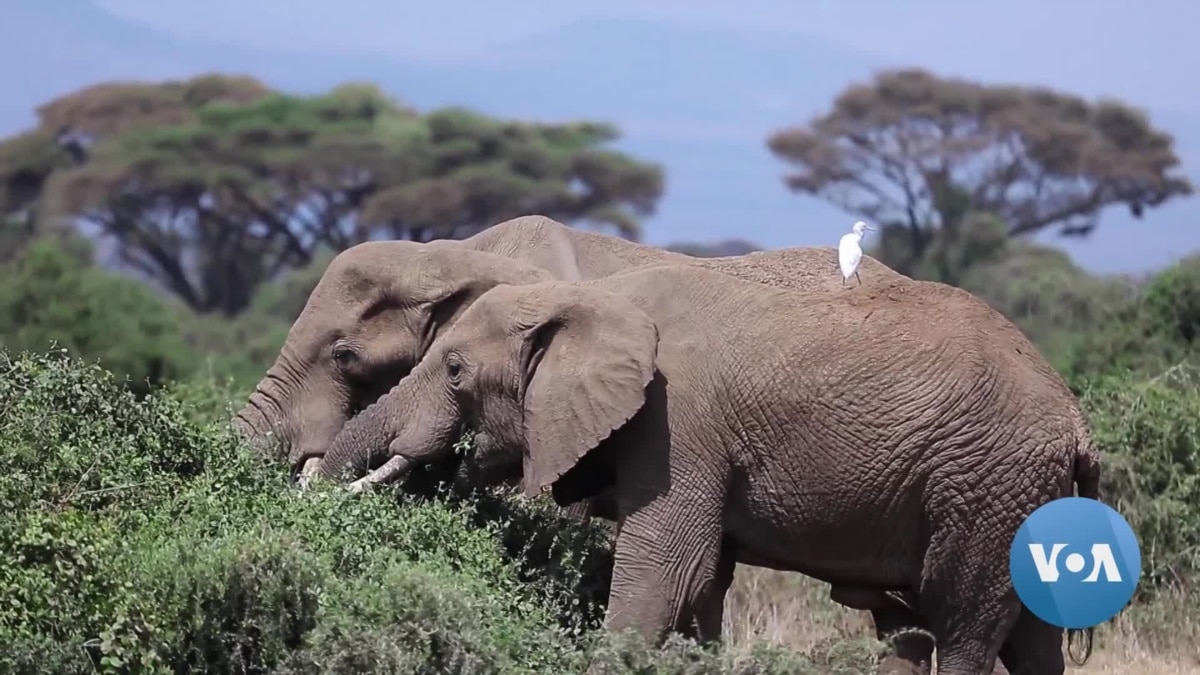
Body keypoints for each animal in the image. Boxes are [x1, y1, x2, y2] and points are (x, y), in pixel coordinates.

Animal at [319, 264, 1101, 675]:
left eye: (454, 370)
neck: (592, 294)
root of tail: (1075, 418)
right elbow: (703, 582)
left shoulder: (677, 424)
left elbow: (663, 567)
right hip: (1018, 494)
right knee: (1027, 636)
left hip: (987, 482)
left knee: (964, 620)